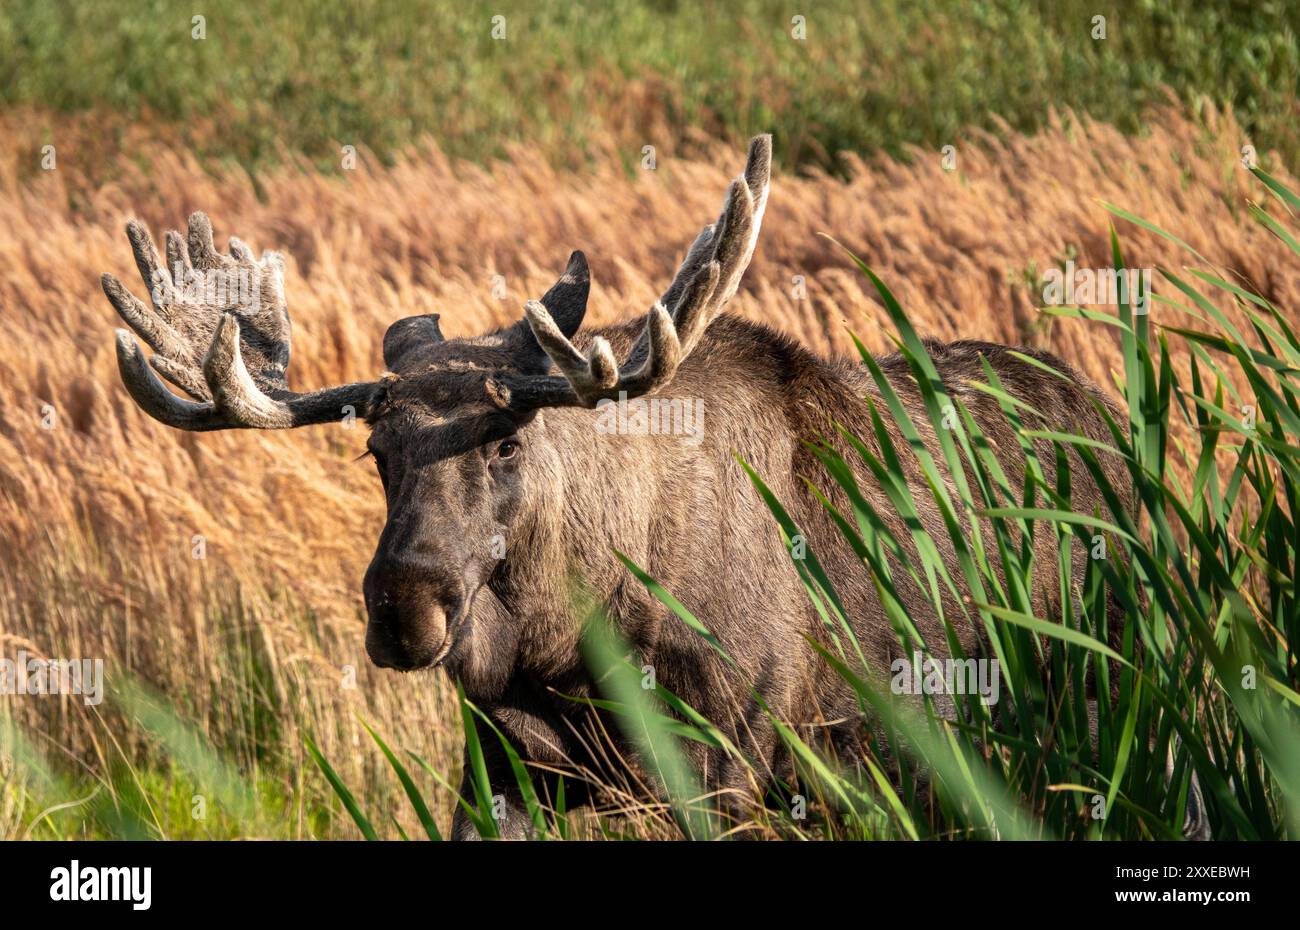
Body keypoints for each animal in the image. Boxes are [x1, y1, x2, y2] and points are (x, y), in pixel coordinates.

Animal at [101, 136, 1205, 839]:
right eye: (375, 452)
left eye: (508, 441)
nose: (406, 608)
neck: (569, 641)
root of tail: (1118, 428)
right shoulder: (502, 765)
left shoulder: (732, 754)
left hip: (1116, 689)